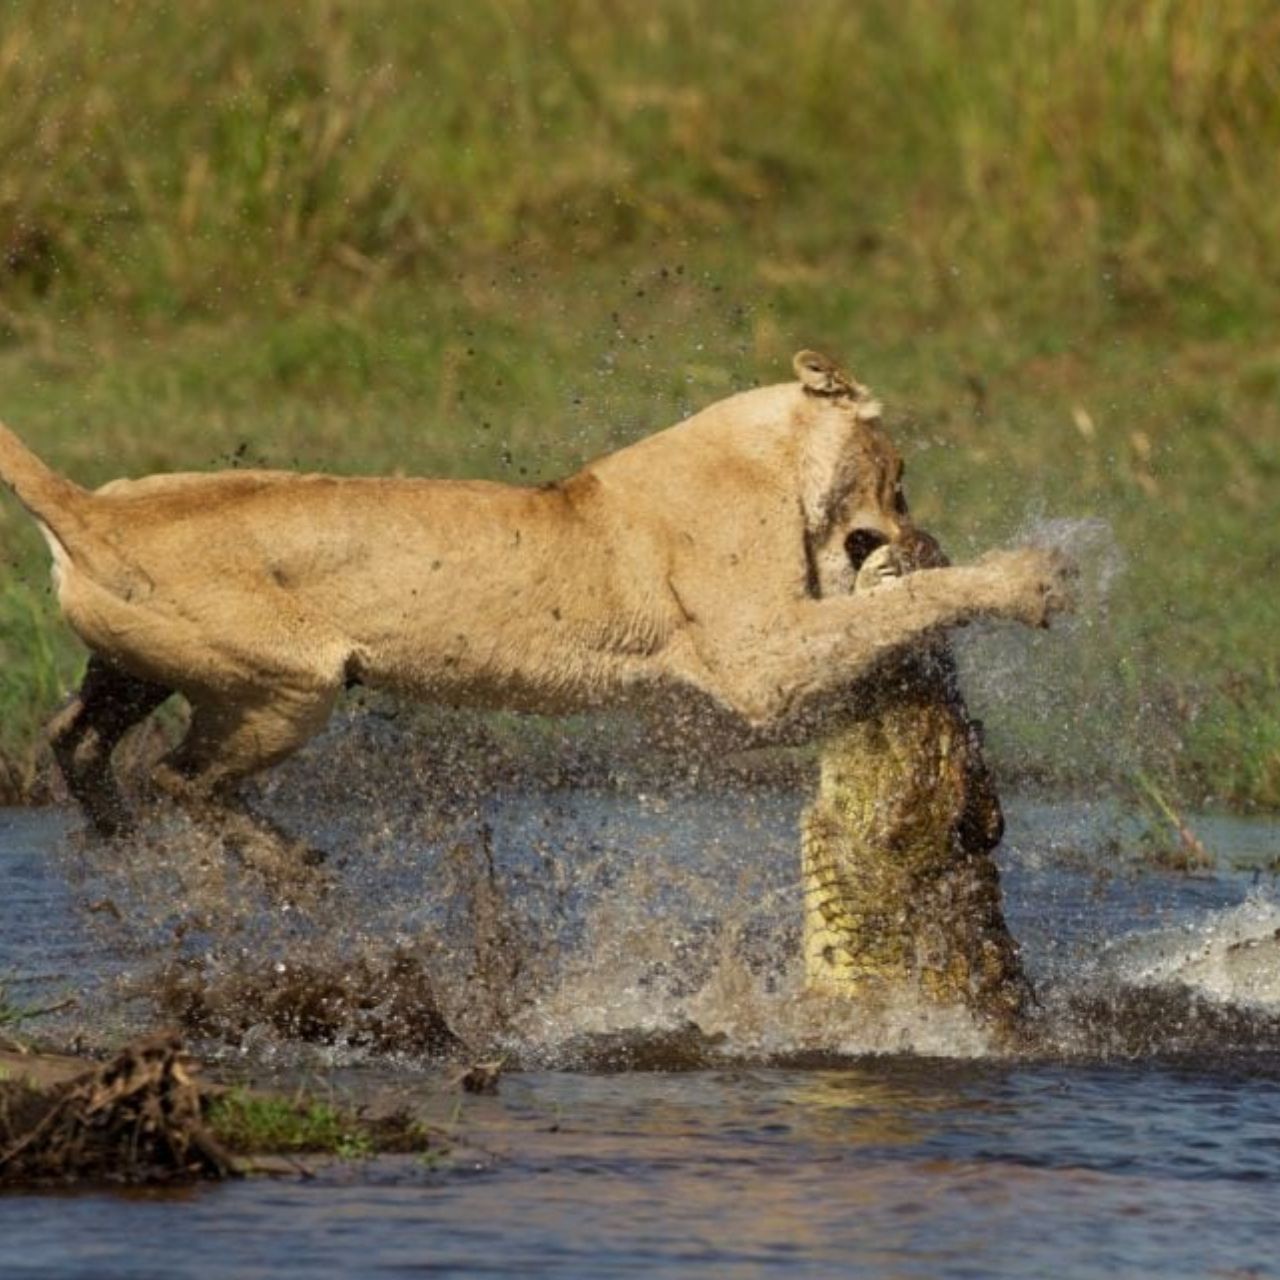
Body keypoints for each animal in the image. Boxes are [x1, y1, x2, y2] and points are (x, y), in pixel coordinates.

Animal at [0, 351, 1071, 855]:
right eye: (902, 478)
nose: (917, 531)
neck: (765, 459)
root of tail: (90, 504)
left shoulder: (740, 684)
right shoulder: (758, 665)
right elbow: (903, 606)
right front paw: (1028, 578)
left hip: (140, 659)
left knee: (75, 738)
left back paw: (116, 830)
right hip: (291, 682)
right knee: (180, 778)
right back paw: (289, 865)